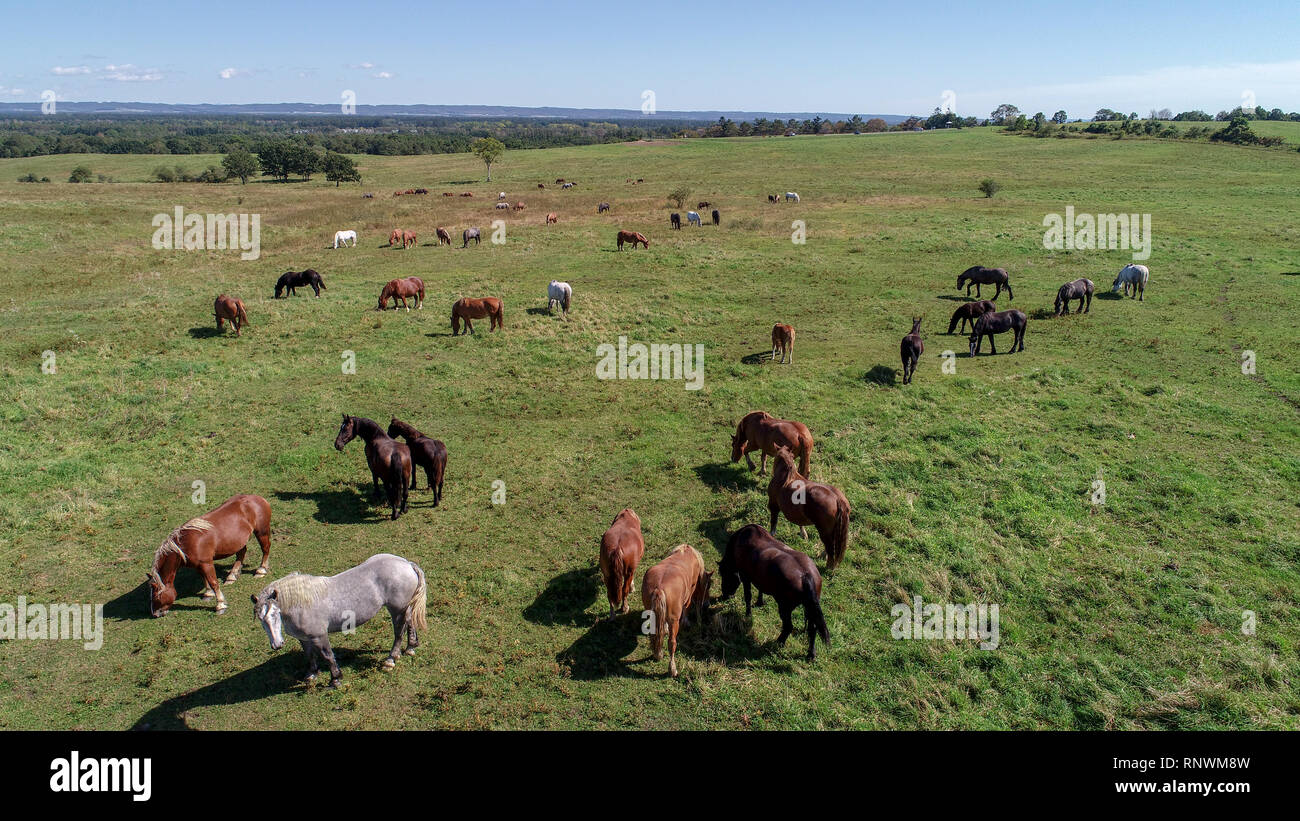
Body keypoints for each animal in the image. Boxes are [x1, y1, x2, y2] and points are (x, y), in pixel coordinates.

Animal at [252, 553, 427, 686]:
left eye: (274, 613)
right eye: (261, 619)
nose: (277, 645)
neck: (301, 603)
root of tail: (407, 564)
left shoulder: (319, 636)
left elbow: (328, 655)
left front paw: (335, 679)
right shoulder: (304, 638)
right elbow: (309, 655)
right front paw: (311, 674)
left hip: (396, 610)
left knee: (399, 632)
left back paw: (391, 659)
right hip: (404, 608)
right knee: (410, 622)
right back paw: (411, 647)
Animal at [641, 544, 712, 677]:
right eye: (708, 586)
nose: (706, 604)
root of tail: (659, 588)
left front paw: (665, 628)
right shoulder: (690, 592)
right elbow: (686, 607)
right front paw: (686, 621)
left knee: (655, 635)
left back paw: (658, 654)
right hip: (674, 621)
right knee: (672, 643)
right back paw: (672, 669)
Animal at [718, 524, 829, 661]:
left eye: (724, 574)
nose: (724, 596)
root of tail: (806, 575)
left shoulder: (745, 576)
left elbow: (748, 596)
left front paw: (748, 614)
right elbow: (760, 589)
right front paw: (760, 602)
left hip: (785, 607)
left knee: (788, 627)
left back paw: (779, 642)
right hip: (810, 607)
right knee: (812, 629)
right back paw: (811, 654)